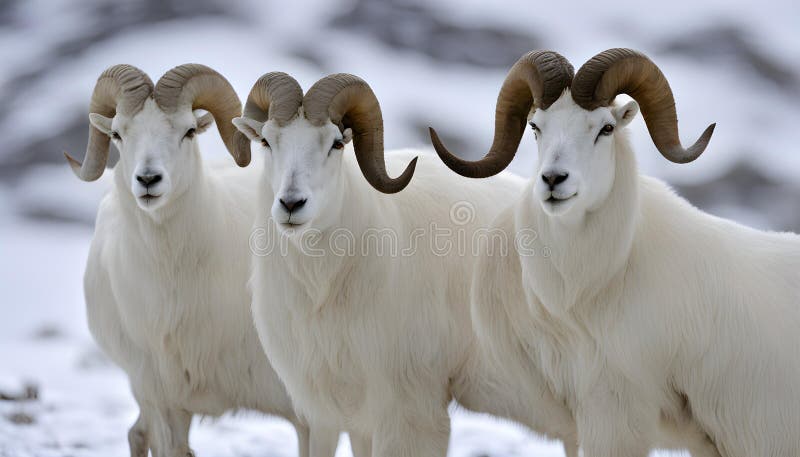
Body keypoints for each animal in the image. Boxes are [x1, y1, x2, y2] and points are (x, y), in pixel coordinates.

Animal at [64, 64, 340, 457]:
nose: (148, 179)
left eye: (188, 131)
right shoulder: (166, 404)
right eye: (117, 133)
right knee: (137, 434)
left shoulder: (314, 417)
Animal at [231, 72, 579, 457]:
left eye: (335, 143)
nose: (292, 204)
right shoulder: (345, 418)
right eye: (267, 140)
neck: (323, 289)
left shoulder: (408, 415)